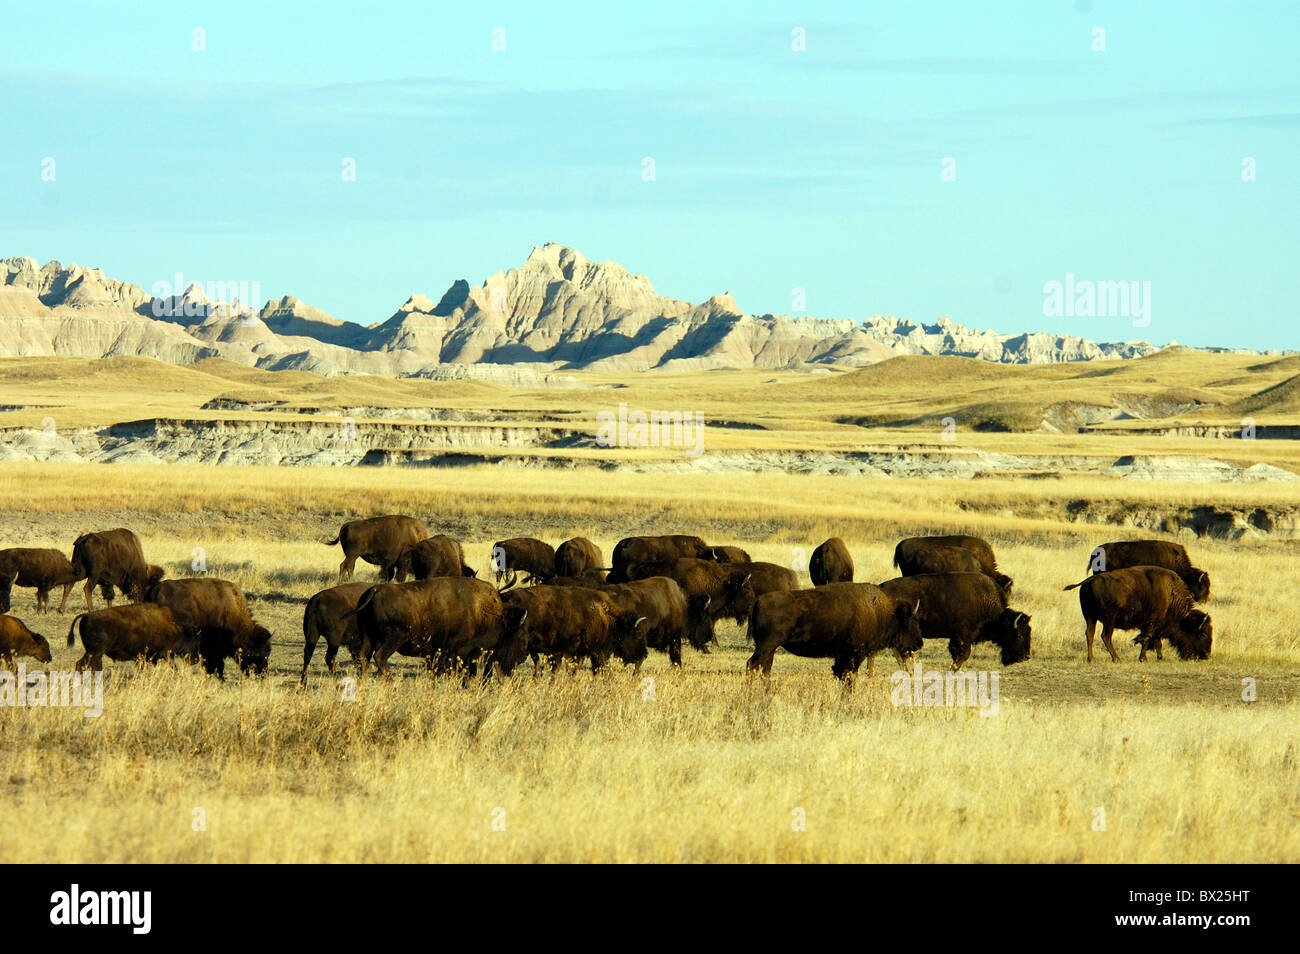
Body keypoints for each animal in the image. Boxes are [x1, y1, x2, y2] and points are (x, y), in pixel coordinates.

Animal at [68, 604, 201, 671]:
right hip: (94, 652)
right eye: (193, 640)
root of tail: (87, 615)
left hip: (94, 653)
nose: (195, 660)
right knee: (83, 665)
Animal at [746, 582, 923, 683]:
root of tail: (758, 601)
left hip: (770, 649)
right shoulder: (854, 655)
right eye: (911, 621)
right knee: (752, 665)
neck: (880, 613)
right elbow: (849, 677)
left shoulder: (843, 656)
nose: (919, 643)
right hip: (766, 646)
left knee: (764, 669)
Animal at [880, 572, 1031, 668]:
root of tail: (881, 589)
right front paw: (951, 669)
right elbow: (963, 655)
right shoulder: (963, 635)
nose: (1026, 656)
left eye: (1028, 632)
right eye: (1018, 635)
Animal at [1064, 566, 1212, 662]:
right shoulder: (1151, 623)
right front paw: (1143, 658)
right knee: (1105, 636)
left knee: (1090, 634)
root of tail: (1089, 580)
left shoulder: (1154, 625)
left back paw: (1091, 659)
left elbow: (1155, 641)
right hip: (1108, 620)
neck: (1170, 594)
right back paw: (1116, 658)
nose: (1206, 655)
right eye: (1203, 634)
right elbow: (1146, 639)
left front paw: (1159, 657)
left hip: (1090, 617)